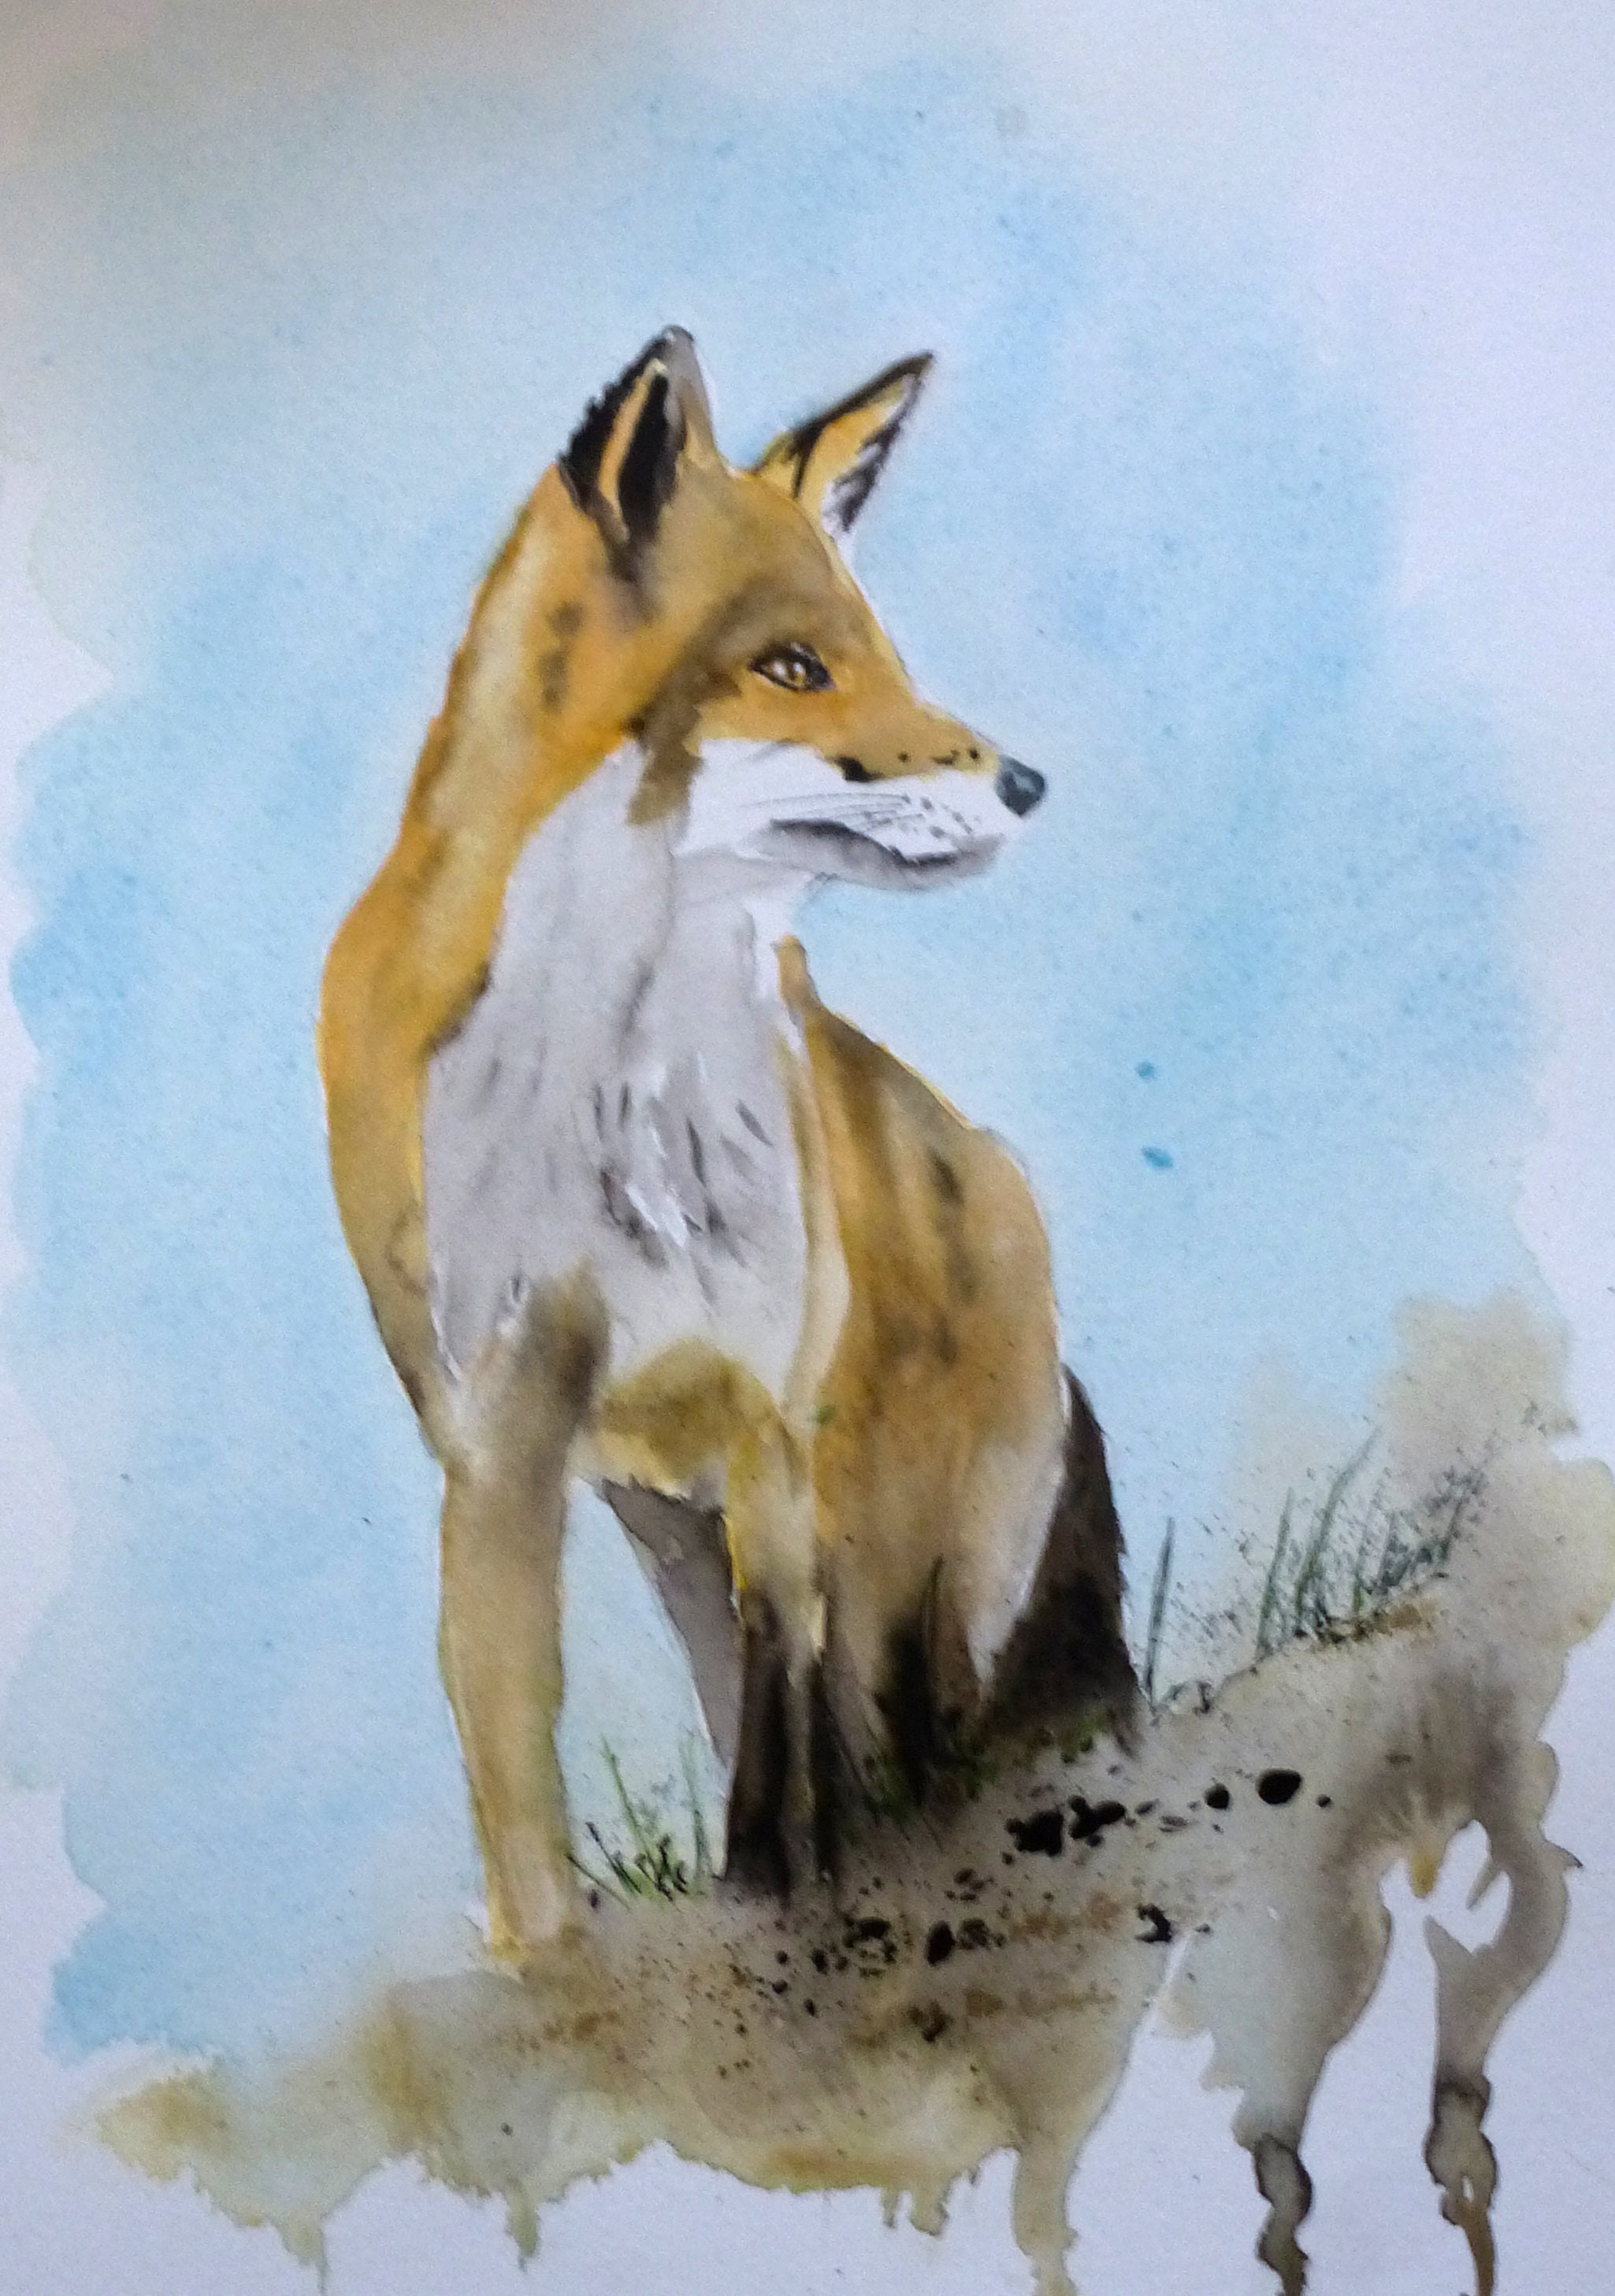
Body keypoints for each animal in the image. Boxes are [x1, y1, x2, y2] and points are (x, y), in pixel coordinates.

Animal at [319, 330, 1132, 1957]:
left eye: (879, 647)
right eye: (795, 667)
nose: (1023, 784)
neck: (614, 1092)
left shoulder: (771, 1425)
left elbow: (777, 1767)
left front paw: (785, 1911)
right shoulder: (495, 1445)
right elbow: (521, 1797)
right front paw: (552, 1967)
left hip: (924, 1563)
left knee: (919, 1734)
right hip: (681, 1528)